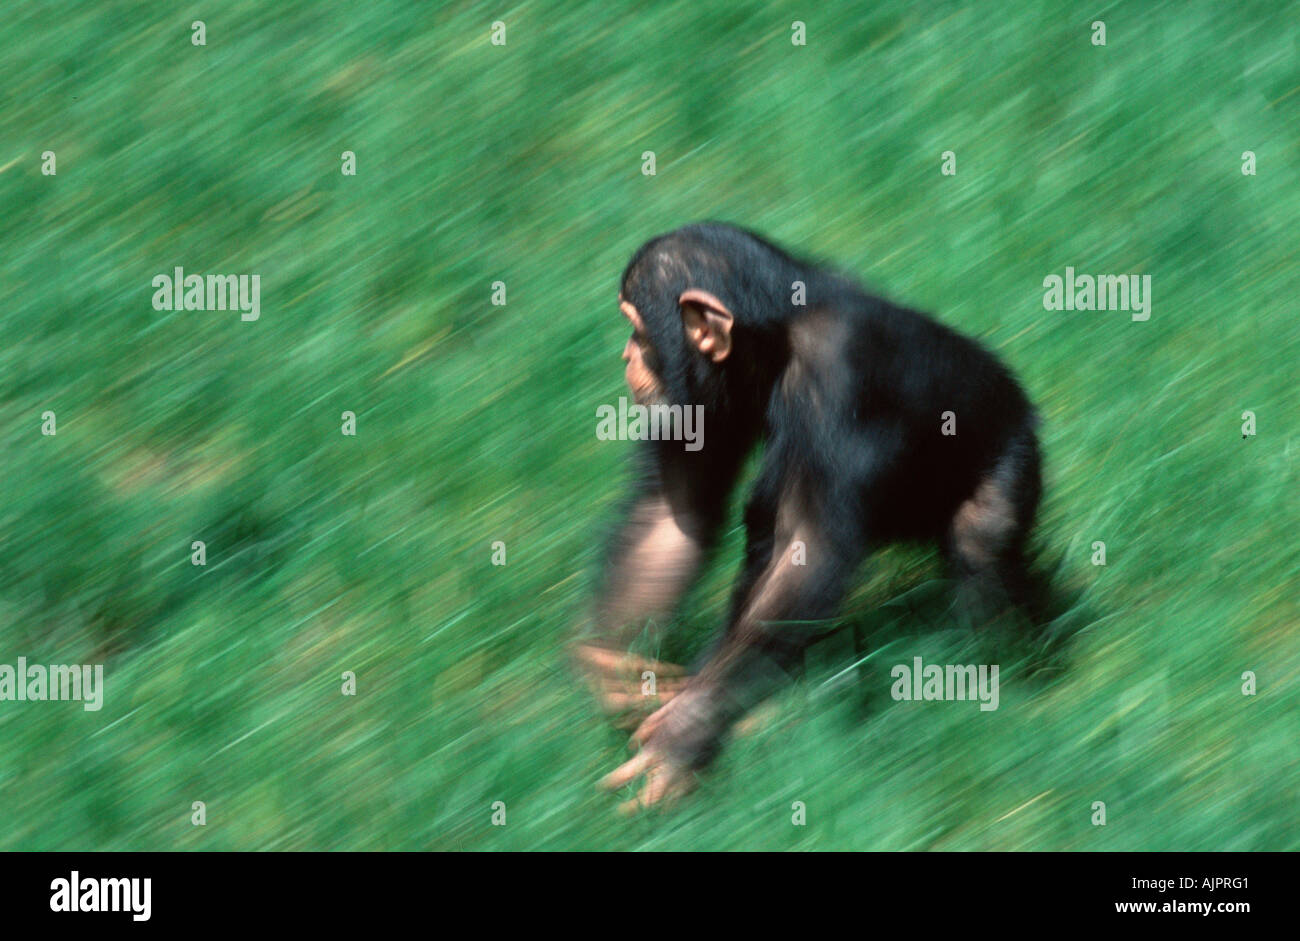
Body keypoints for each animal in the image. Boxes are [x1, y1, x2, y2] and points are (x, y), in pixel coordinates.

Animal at [575, 222, 1042, 812]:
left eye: (638, 330)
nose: (626, 357)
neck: (774, 340)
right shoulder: (696, 401)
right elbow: (674, 512)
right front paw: (608, 665)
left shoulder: (841, 373)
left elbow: (809, 549)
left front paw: (683, 734)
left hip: (1011, 451)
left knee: (983, 544)